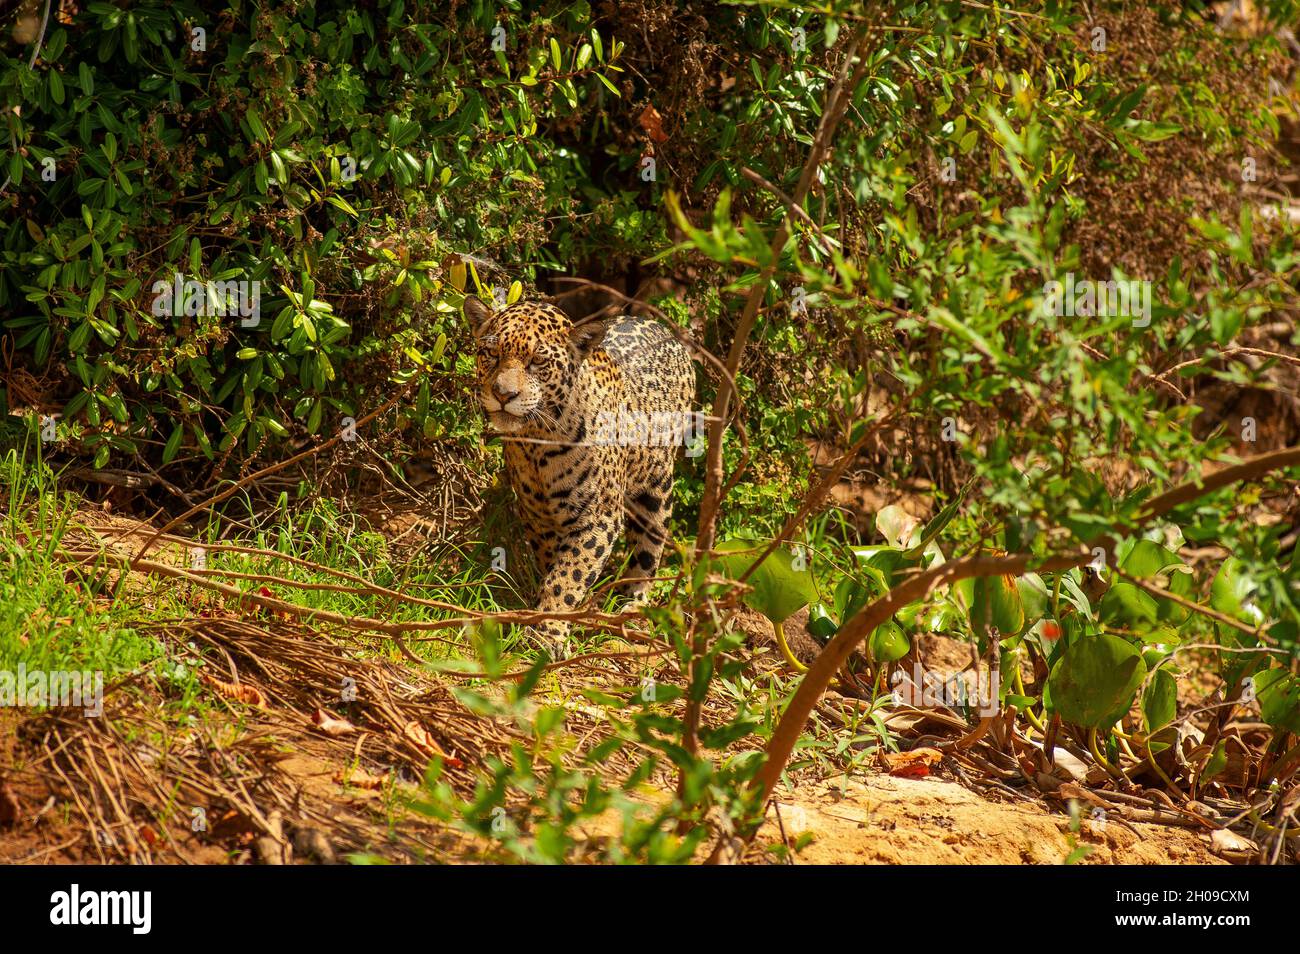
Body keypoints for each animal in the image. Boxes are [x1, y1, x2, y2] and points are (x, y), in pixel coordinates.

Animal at [465, 295, 696, 643]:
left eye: (537, 361)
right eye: (491, 354)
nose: (503, 394)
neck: (537, 443)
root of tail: (656, 324)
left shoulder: (598, 517)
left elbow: (569, 574)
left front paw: (547, 634)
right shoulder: (538, 517)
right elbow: (555, 566)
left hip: (656, 487)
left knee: (648, 546)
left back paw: (633, 604)